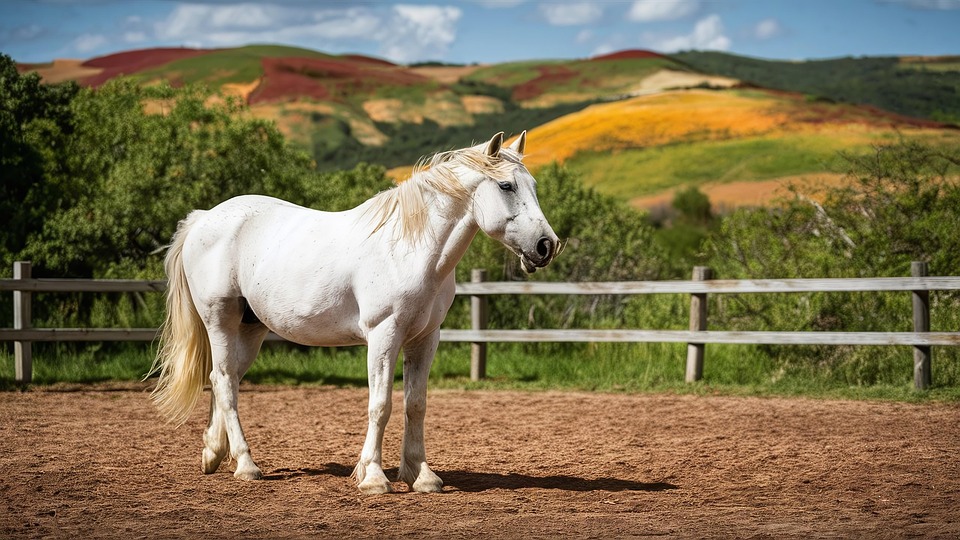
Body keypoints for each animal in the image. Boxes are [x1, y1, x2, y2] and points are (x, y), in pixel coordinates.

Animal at [148, 131, 560, 494]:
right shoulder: (383, 334)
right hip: (220, 320)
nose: (546, 245)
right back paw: (247, 465)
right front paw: (374, 477)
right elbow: (381, 405)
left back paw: (214, 454)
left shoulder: (425, 338)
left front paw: (421, 475)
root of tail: (204, 218)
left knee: (225, 379)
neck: (410, 246)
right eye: (506, 186)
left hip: (250, 329)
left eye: (534, 185)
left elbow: (416, 404)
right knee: (224, 383)